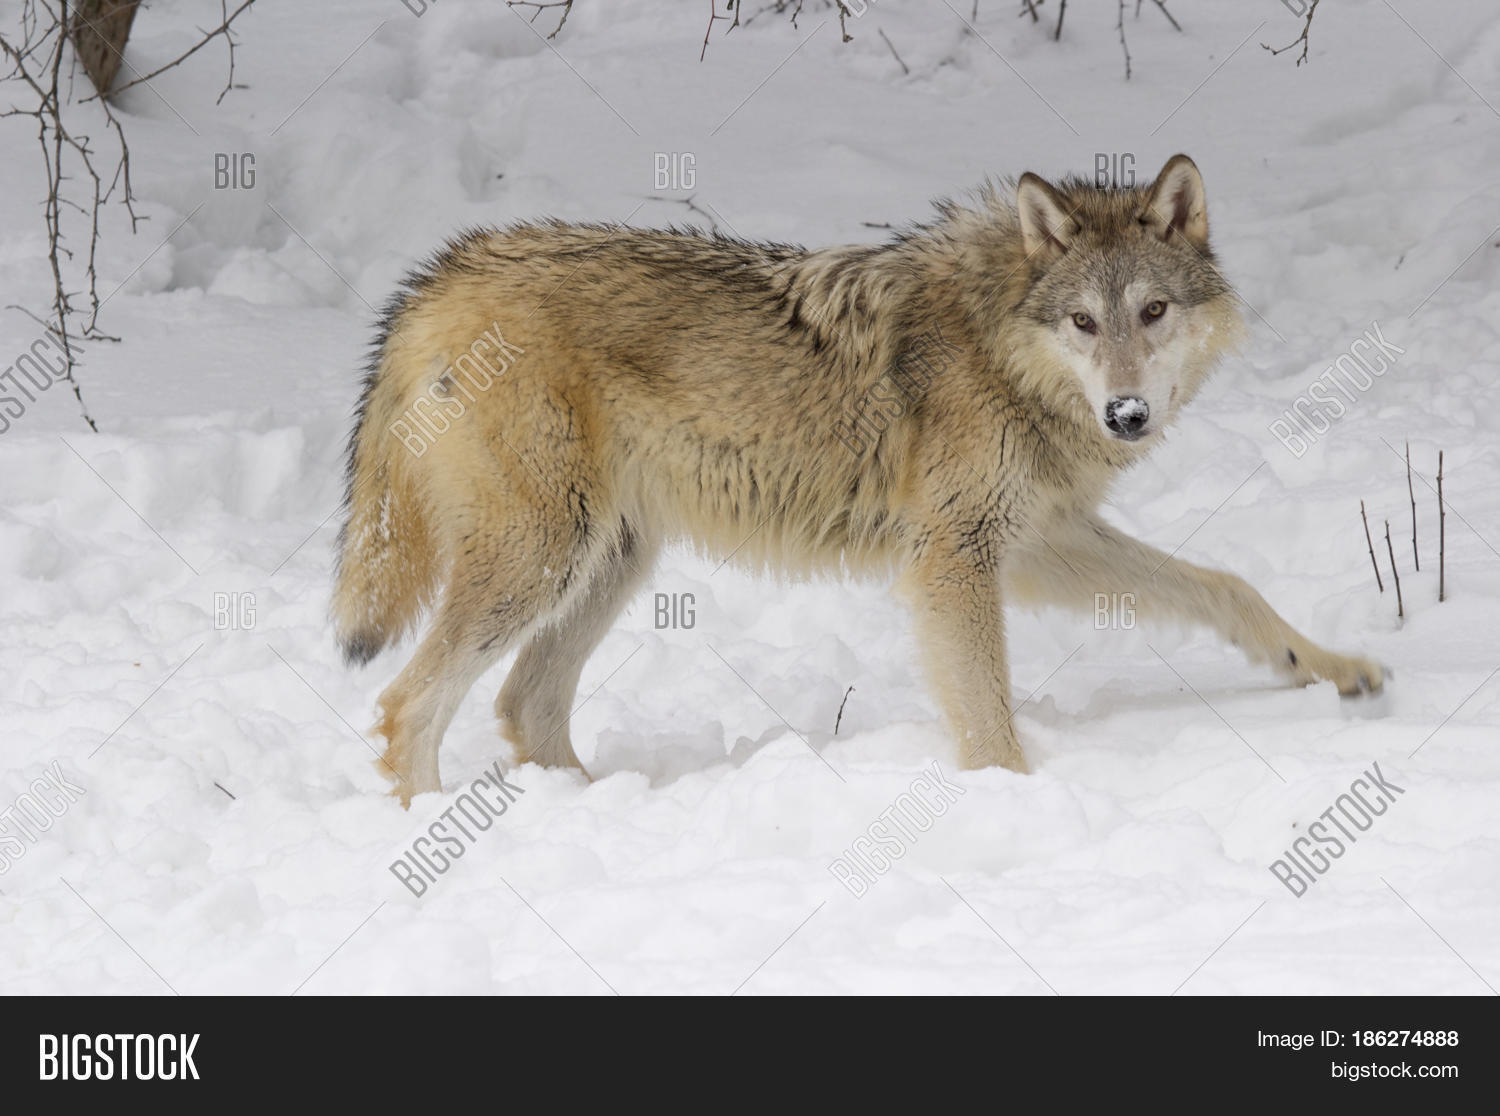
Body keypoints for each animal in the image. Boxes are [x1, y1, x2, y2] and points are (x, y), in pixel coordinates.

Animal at [334, 154, 1384, 805]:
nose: (1127, 414)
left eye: (1153, 311)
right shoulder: (955, 557)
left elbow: (1227, 588)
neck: (997, 346)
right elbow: (988, 718)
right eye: (1085, 322)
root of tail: (442, 273)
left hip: (609, 562)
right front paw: (1017, 806)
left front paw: (1328, 667)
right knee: (406, 706)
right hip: (546, 560)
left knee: (526, 704)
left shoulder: (1037, 542)